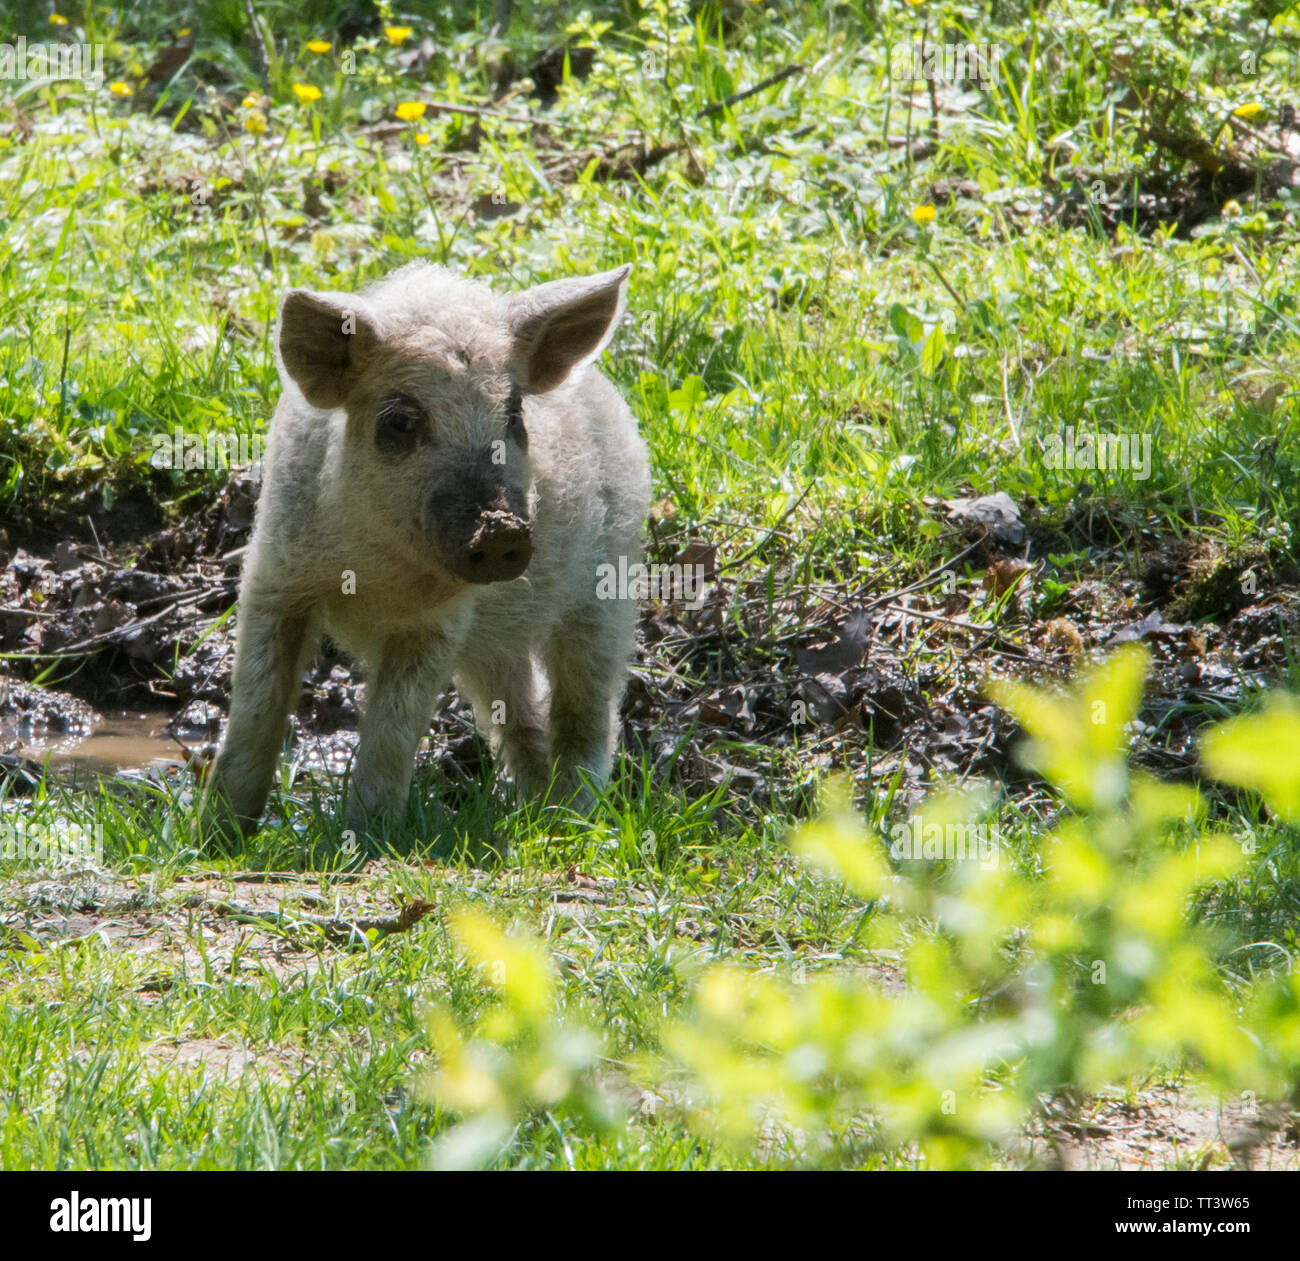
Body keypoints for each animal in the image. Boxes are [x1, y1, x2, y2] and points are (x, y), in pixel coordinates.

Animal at [201, 262, 650, 841]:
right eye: (399, 421)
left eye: (514, 416)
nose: (502, 531)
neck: (373, 571)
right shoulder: (274, 578)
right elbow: (256, 706)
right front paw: (217, 837)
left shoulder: (440, 622)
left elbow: (393, 730)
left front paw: (366, 841)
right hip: (499, 646)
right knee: (522, 711)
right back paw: (533, 812)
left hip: (608, 586)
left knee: (588, 710)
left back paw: (568, 823)